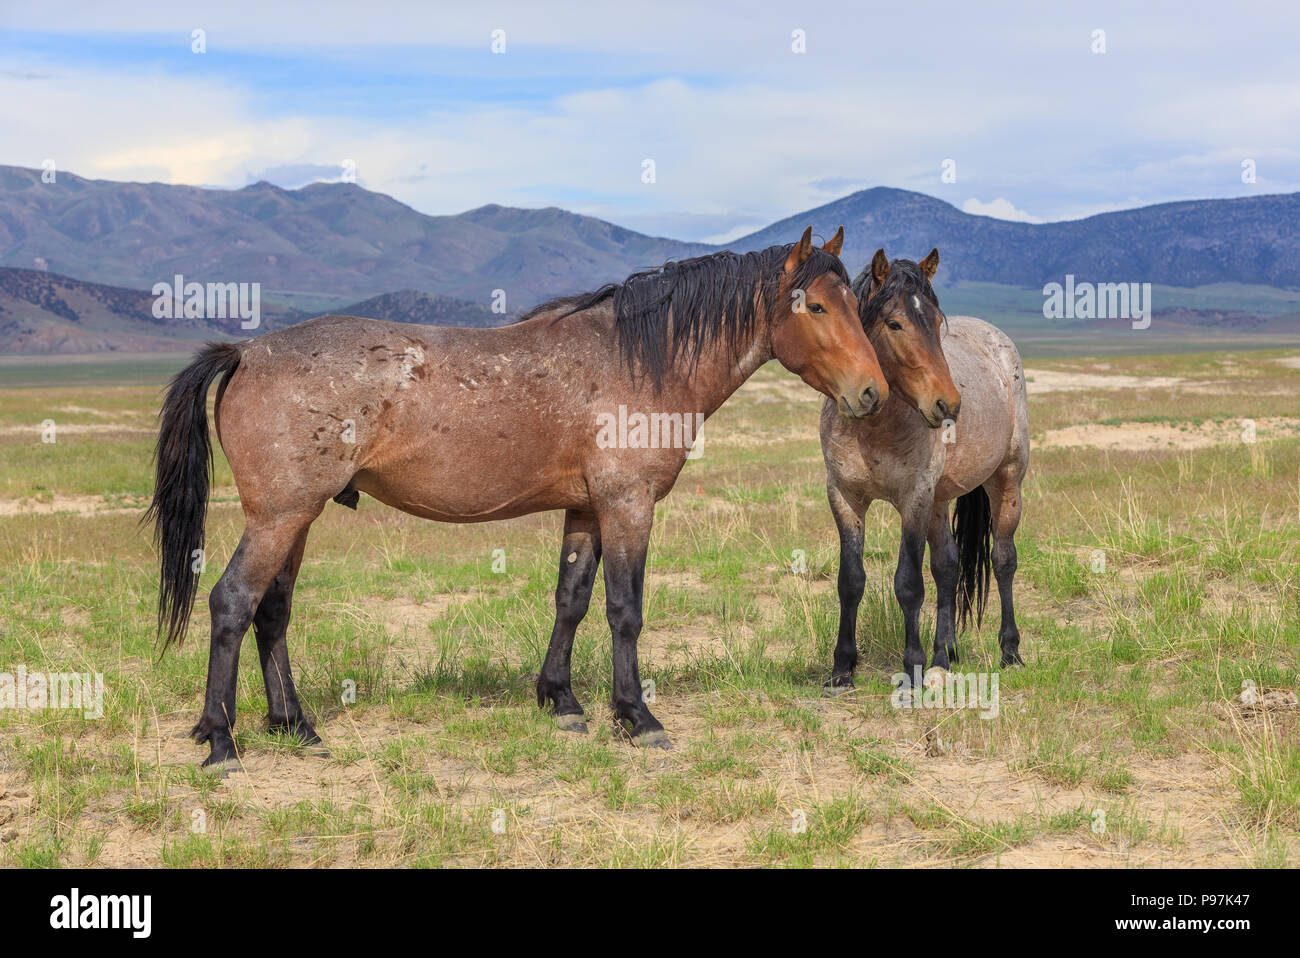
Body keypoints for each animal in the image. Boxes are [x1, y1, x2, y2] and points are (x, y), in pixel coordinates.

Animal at [147, 226, 889, 771]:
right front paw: (637, 717)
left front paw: (561, 700)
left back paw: (295, 725)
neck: (640, 360)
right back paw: (221, 740)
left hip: (296, 519)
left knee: (272, 612)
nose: (872, 393)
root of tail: (246, 353)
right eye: (816, 306)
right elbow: (624, 611)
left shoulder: (586, 509)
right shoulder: (628, 505)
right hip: (278, 518)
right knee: (232, 603)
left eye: (858, 306)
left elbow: (572, 601)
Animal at [820, 248, 1029, 692]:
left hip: (1006, 480)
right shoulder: (845, 498)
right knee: (948, 567)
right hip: (940, 499)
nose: (947, 404)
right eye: (894, 323)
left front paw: (912, 666)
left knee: (1003, 559)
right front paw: (842, 668)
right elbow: (851, 581)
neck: (874, 428)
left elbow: (909, 584)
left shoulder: (914, 498)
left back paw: (1010, 652)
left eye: (935, 322)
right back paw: (944, 654)